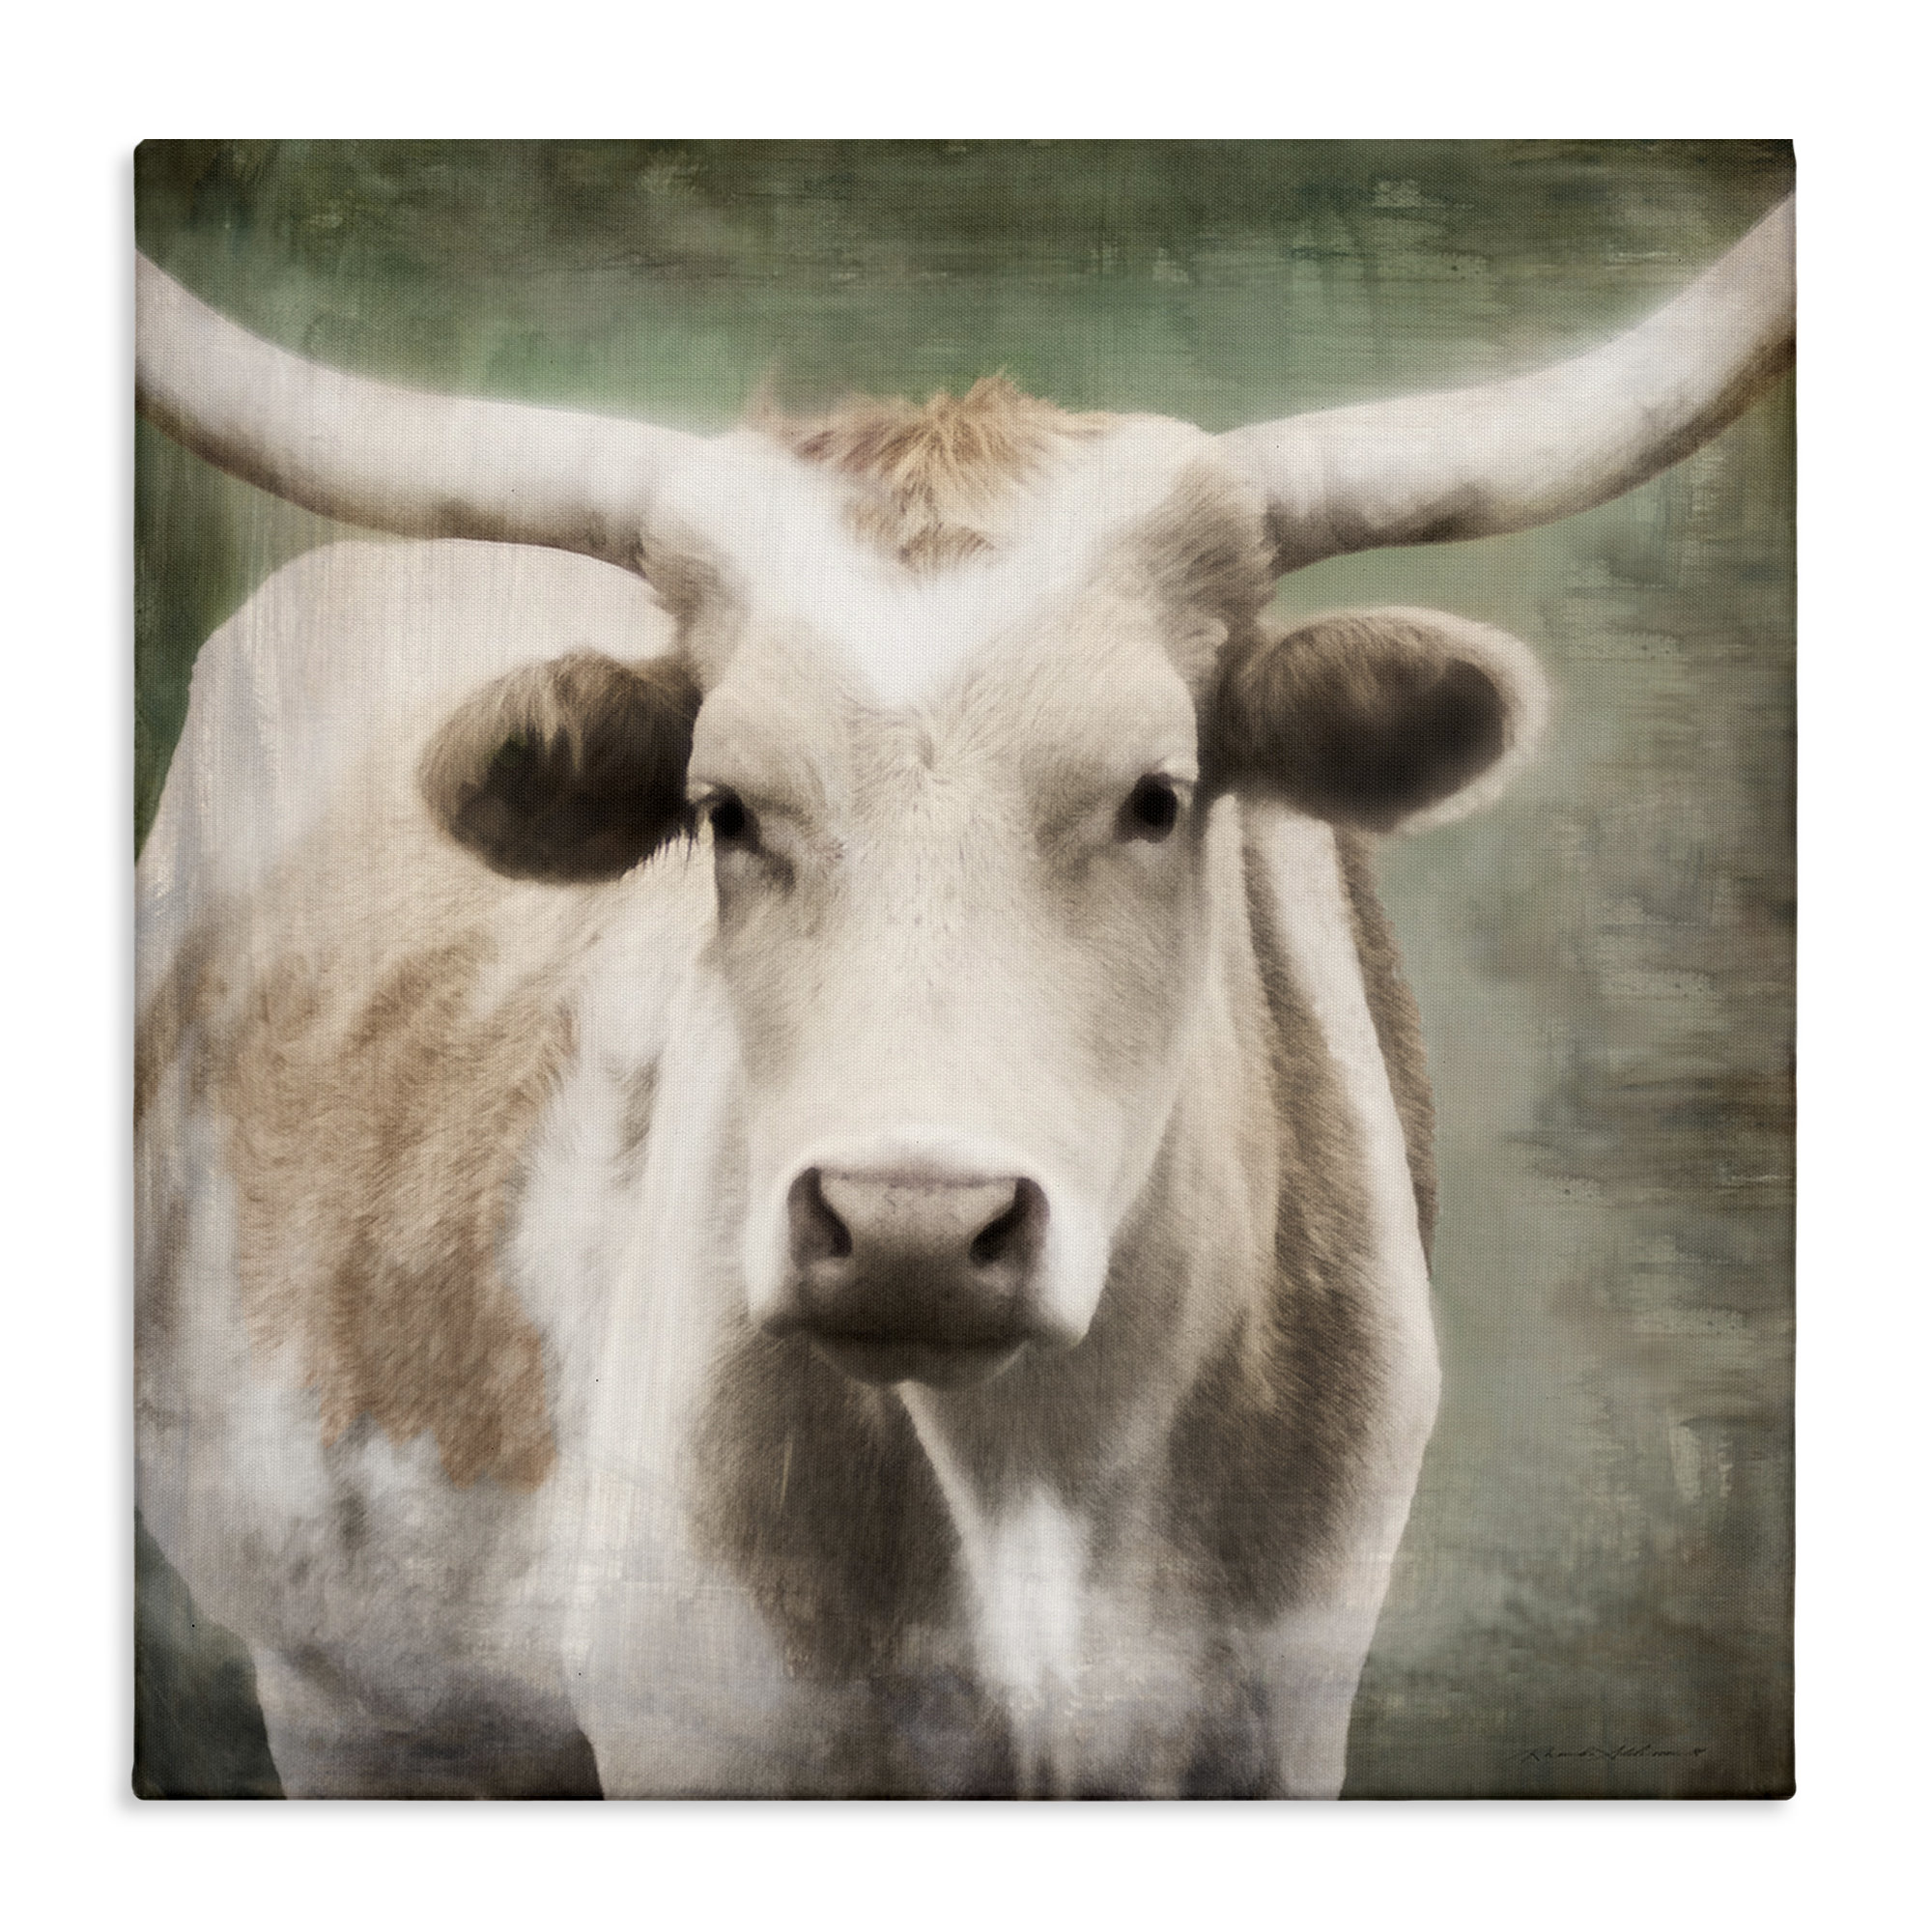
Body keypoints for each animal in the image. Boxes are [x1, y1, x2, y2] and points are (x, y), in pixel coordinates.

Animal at [135, 196, 1794, 1799]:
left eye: (1157, 797)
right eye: (724, 810)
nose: (910, 1230)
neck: (1037, 1482)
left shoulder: (1269, 1730)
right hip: (353, 1697)